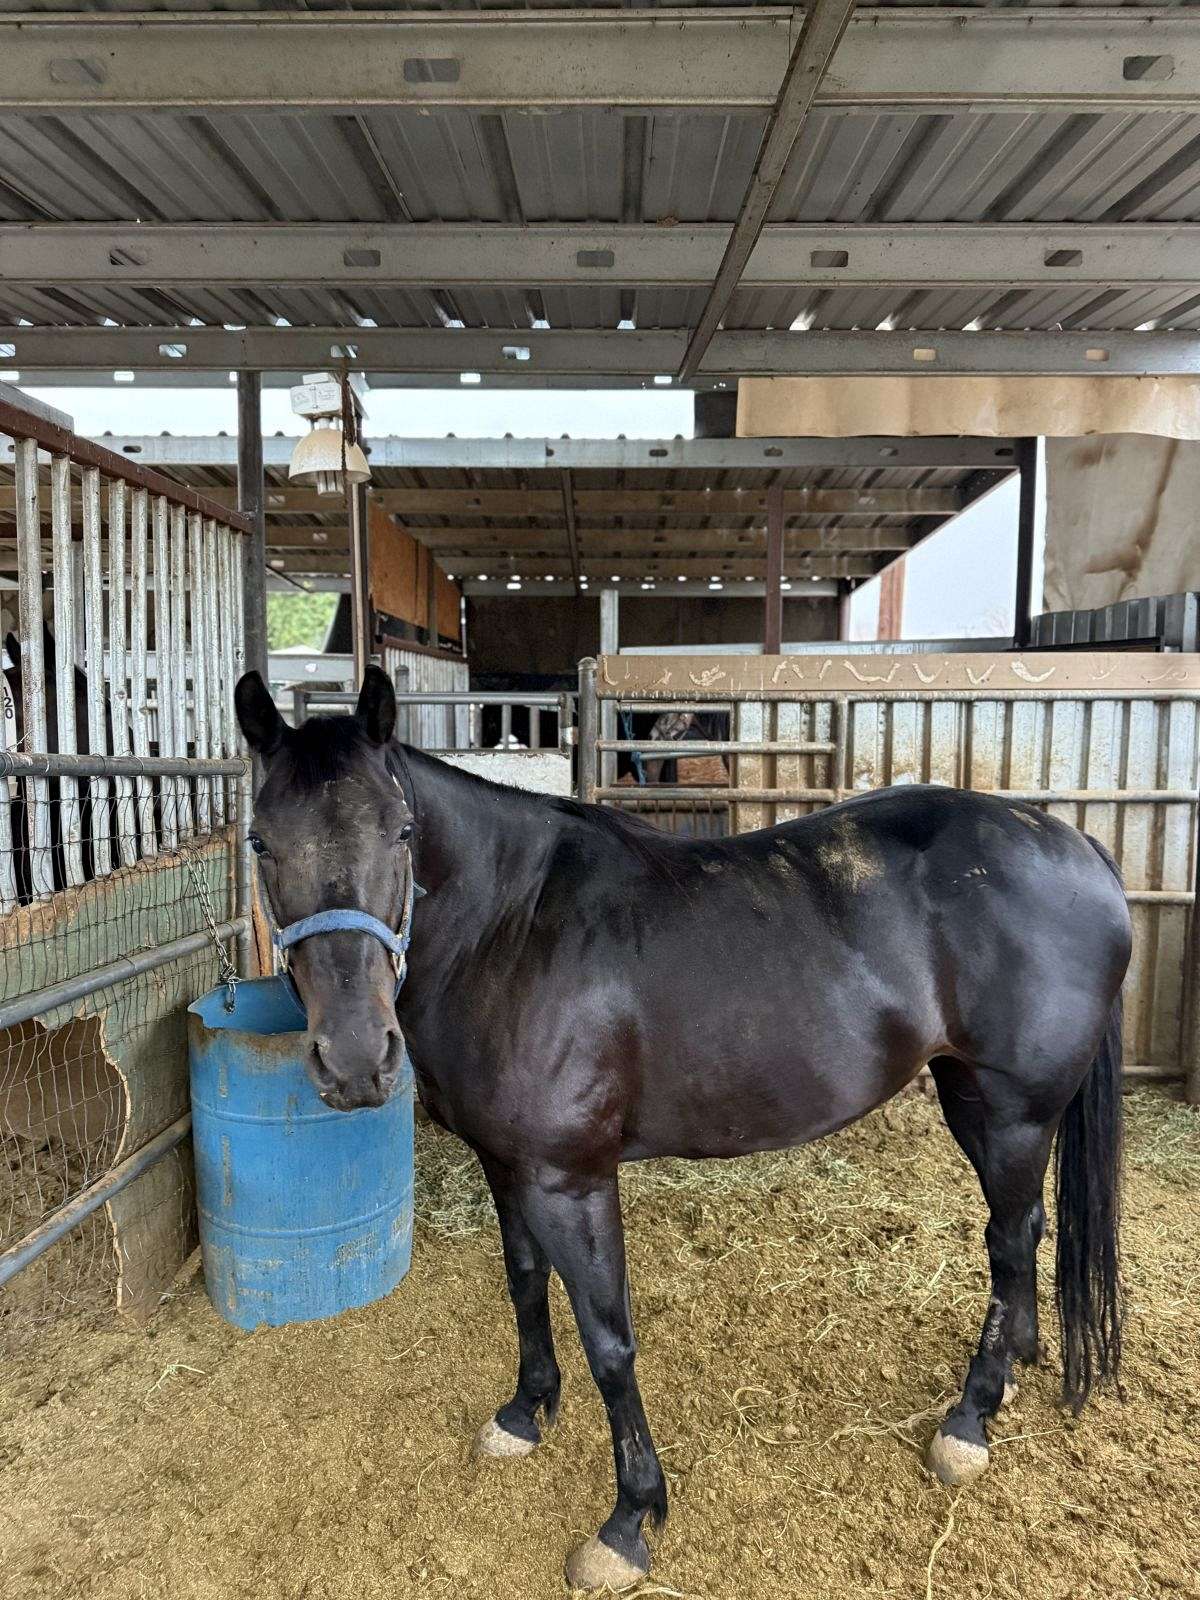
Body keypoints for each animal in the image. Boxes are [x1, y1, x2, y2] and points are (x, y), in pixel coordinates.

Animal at [233, 666, 1129, 1592]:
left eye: (403, 830)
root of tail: (1078, 847)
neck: (510, 929)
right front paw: (525, 1411)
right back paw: (1012, 1369)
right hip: (978, 1100)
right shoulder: (506, 1164)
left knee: (1010, 1238)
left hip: (1013, 1111)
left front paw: (629, 1520)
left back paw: (970, 1419)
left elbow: (610, 1340)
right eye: (261, 843)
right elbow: (524, 1284)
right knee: (1023, 1231)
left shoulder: (572, 1180)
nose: (353, 1059)